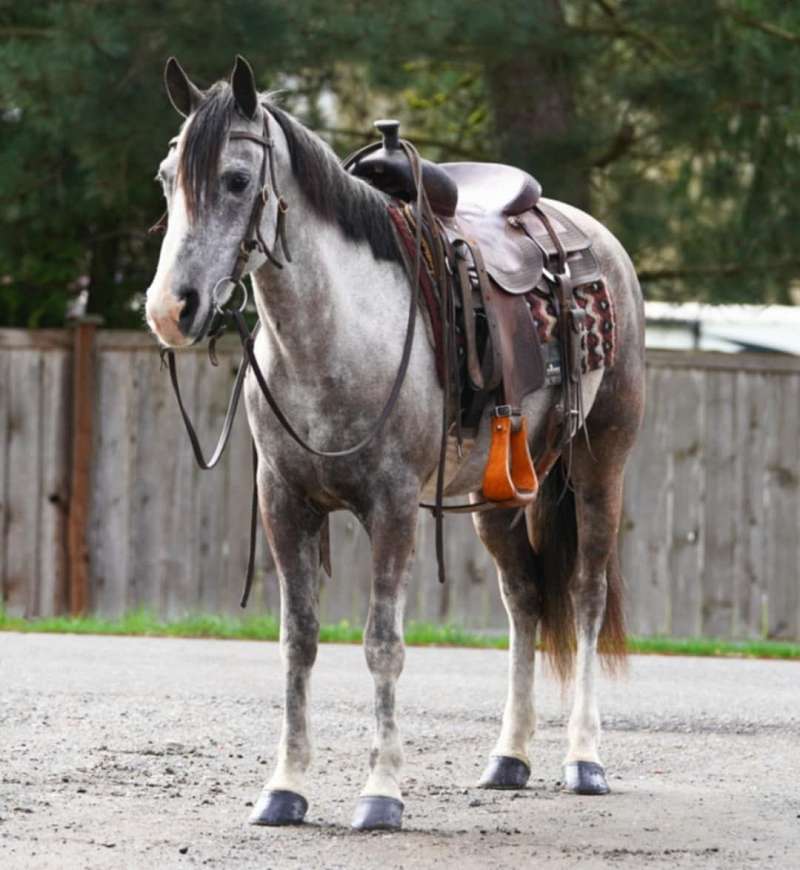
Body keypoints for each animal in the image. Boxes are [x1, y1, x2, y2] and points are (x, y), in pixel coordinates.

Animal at [145, 55, 645, 832]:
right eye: (166, 178)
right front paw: (284, 788)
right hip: (500, 494)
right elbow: (298, 640)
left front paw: (381, 793)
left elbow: (383, 644)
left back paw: (583, 759)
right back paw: (509, 758)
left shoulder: (393, 506)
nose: (172, 309)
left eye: (235, 179)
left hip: (602, 463)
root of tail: (597, 242)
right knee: (526, 598)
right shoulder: (284, 502)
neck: (335, 336)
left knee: (585, 595)